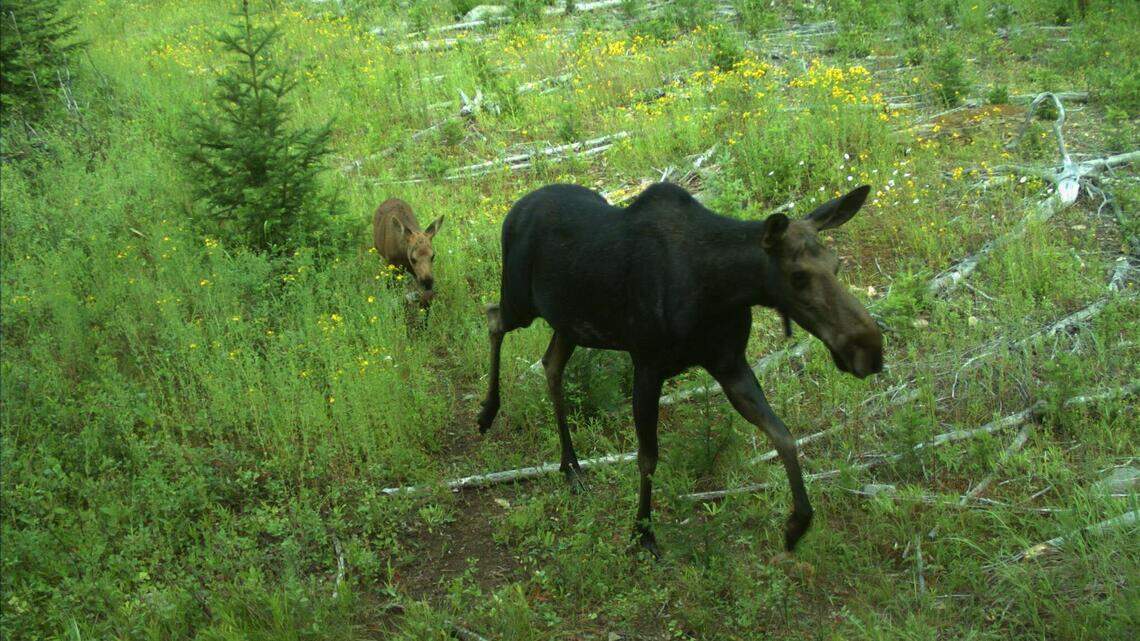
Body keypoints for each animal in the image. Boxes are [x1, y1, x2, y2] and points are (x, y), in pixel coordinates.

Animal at [476, 182, 883, 558]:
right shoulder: (647, 365)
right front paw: (642, 532)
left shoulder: (730, 364)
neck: (718, 291)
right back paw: (487, 412)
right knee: (493, 318)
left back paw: (571, 464)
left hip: (568, 320)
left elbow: (783, 436)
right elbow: (648, 457)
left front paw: (797, 523)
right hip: (520, 301)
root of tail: (515, 209)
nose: (870, 351)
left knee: (551, 364)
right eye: (798, 276)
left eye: (837, 265)